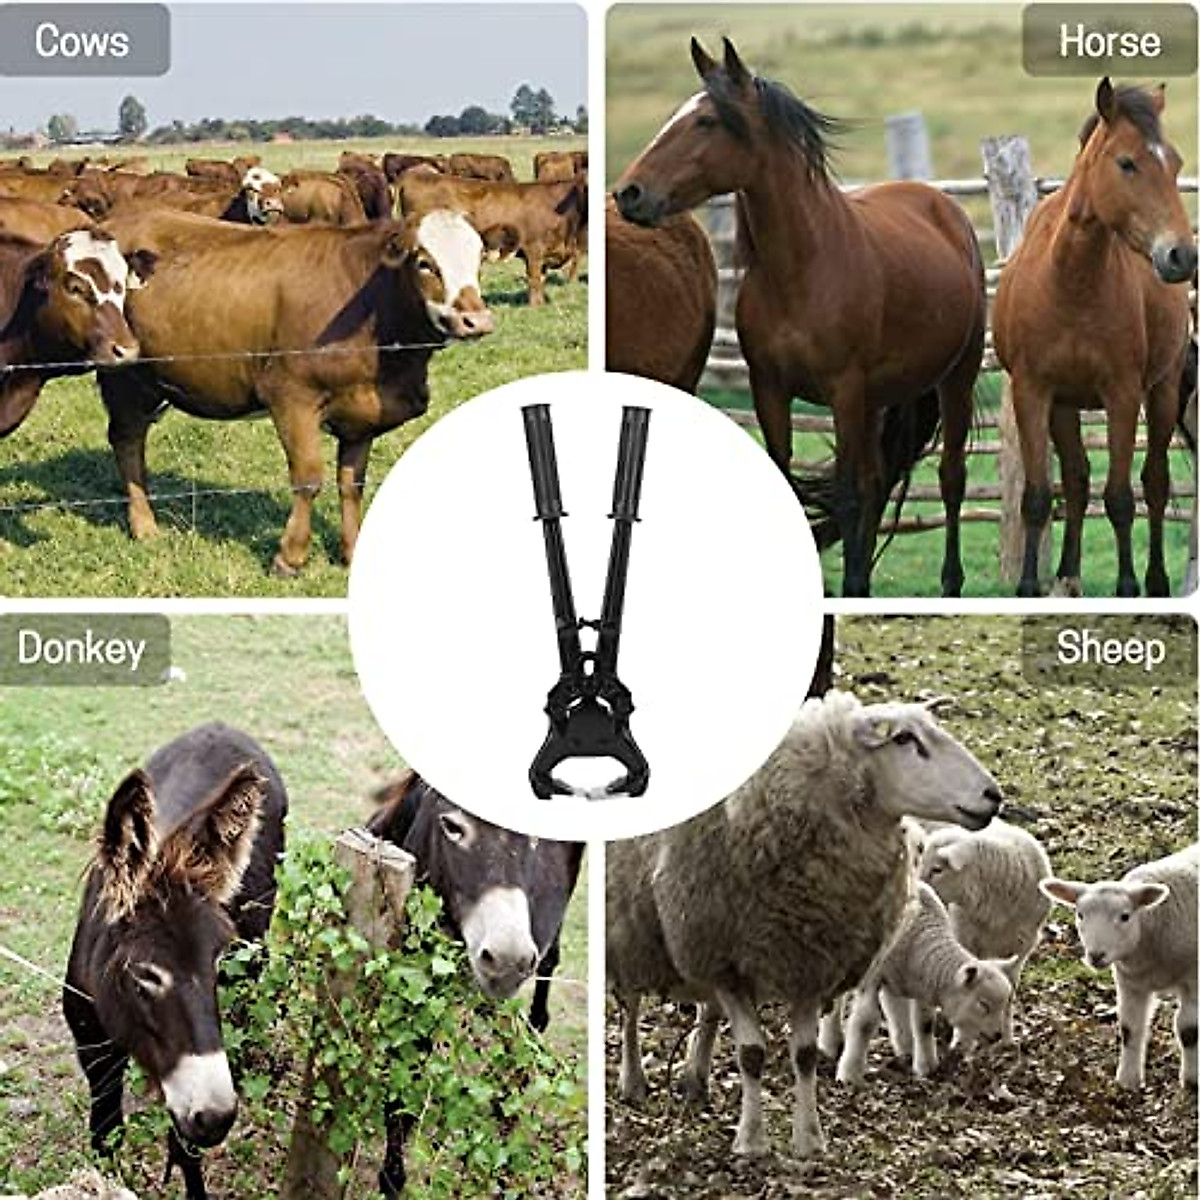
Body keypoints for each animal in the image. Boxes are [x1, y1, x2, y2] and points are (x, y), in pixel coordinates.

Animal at [96, 207, 493, 573]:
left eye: (478, 258)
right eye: (425, 263)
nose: (476, 320)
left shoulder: (362, 412)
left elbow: (351, 482)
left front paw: (351, 552)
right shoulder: (292, 396)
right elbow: (308, 479)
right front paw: (290, 556)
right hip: (123, 375)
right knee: (127, 439)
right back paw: (144, 525)